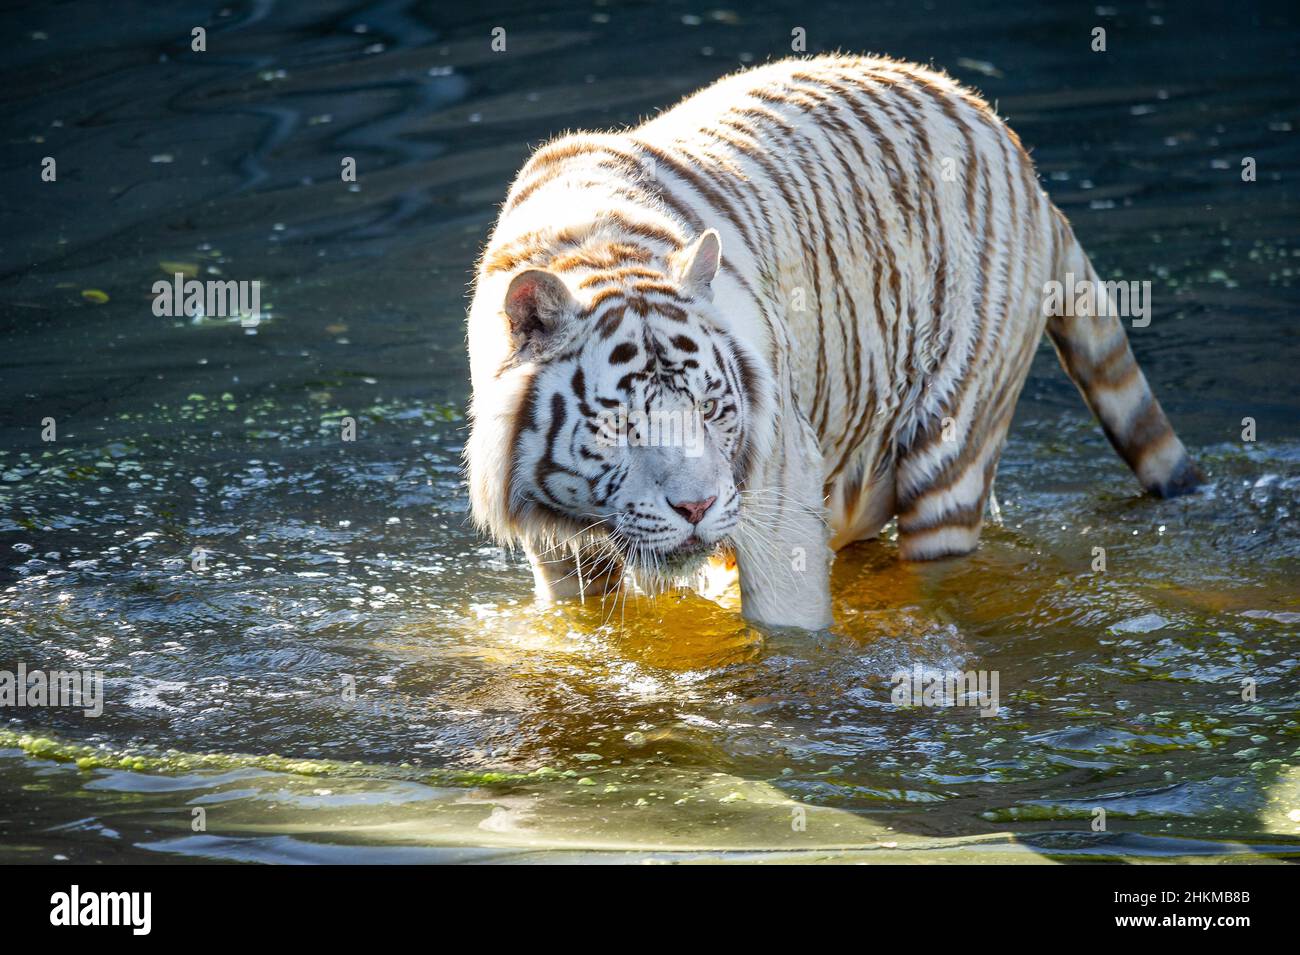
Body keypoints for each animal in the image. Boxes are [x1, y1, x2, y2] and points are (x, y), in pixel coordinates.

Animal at [463, 54, 1201, 630]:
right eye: (620, 424)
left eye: (712, 409)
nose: (697, 508)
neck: (594, 250)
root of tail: (1020, 160)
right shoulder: (561, 558)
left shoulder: (780, 487)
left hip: (952, 448)